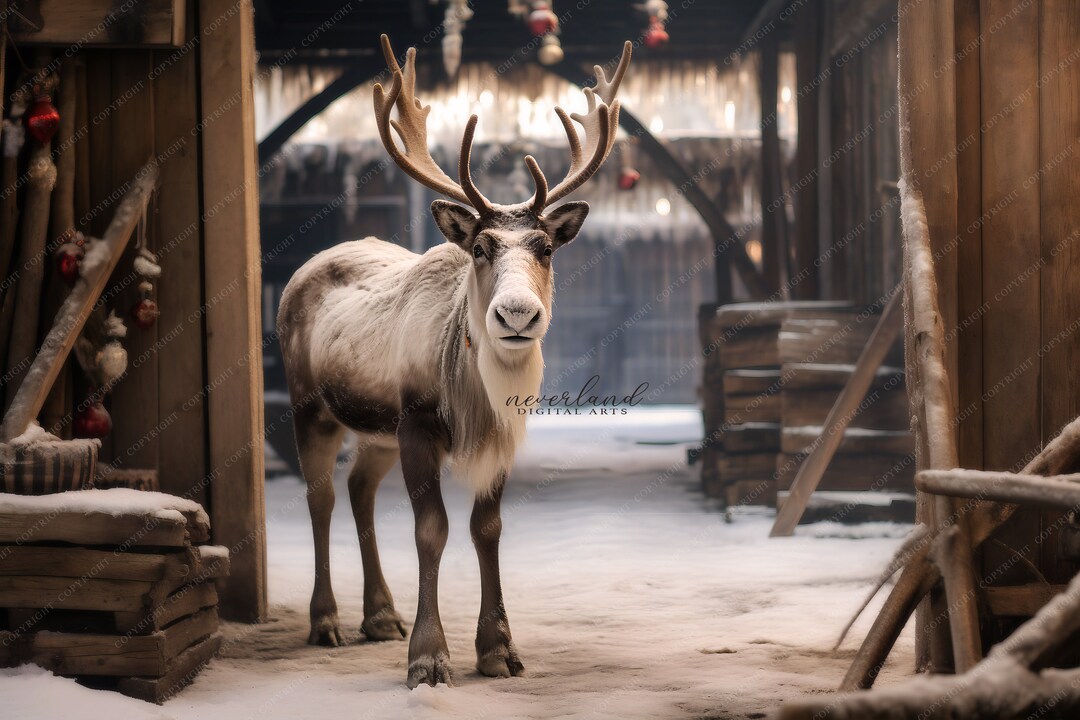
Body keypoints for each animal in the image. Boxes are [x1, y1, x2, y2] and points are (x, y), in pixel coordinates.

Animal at [276, 35, 631, 688]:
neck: (475, 401)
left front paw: (498, 650)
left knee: (359, 489)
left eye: (545, 247)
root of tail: (303, 271)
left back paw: (380, 615)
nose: (516, 313)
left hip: (377, 429)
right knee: (322, 497)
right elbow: (431, 529)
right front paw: (428, 658)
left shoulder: (501, 435)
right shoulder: (418, 423)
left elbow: (486, 529)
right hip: (311, 405)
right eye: (482, 247)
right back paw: (327, 621)